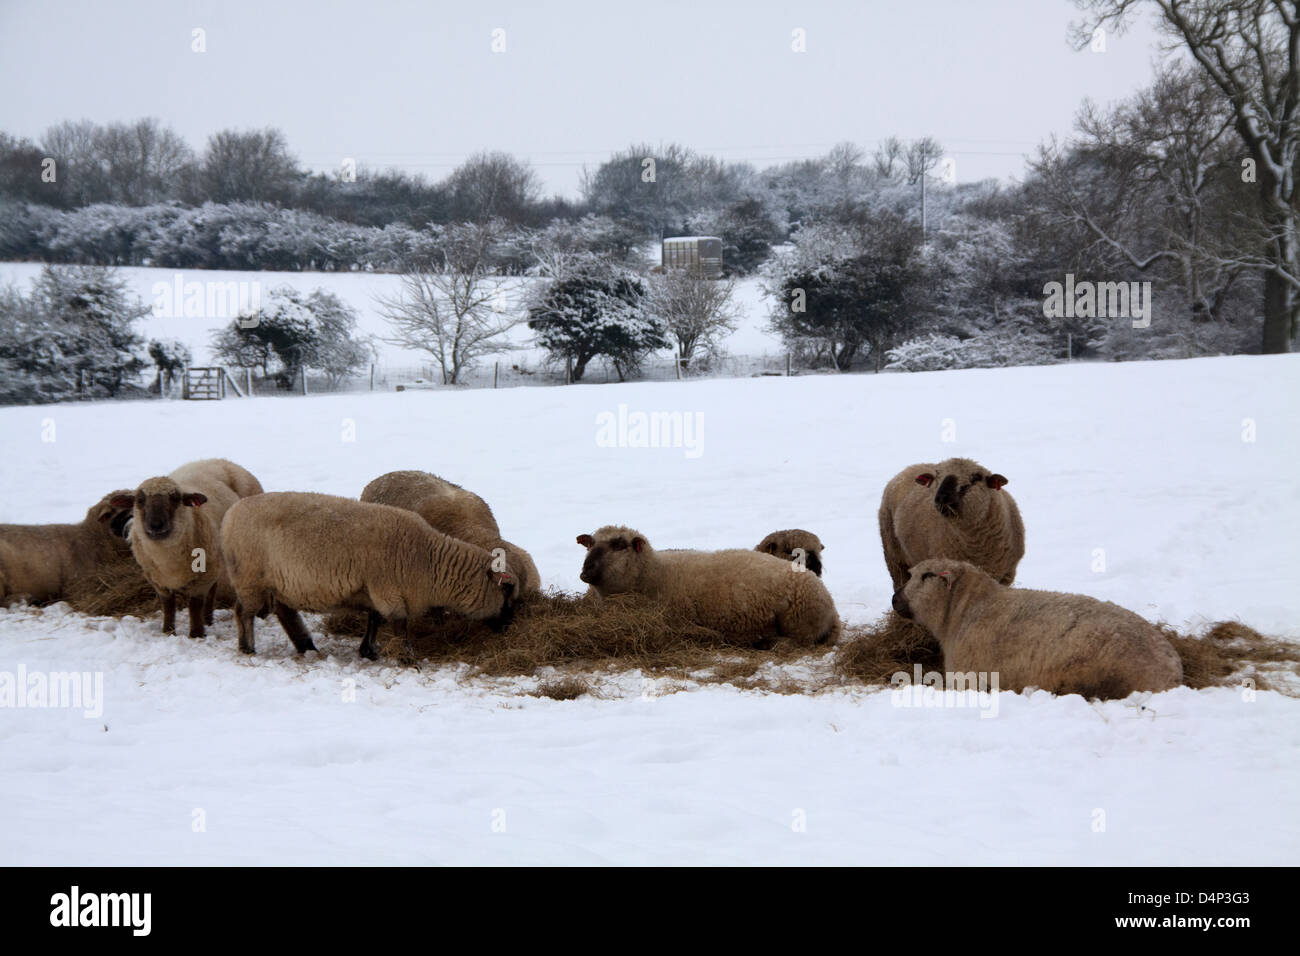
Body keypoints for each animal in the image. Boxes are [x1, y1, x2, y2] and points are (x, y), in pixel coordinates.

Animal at [111, 458, 263, 639]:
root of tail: (221, 460)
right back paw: (208, 620)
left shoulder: (202, 578)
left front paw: (196, 633)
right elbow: (168, 606)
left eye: (175, 498)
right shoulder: (157, 581)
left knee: (213, 591)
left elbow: (194, 605)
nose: (156, 525)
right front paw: (168, 631)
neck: (167, 560)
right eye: (140, 500)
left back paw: (208, 620)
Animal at [220, 491, 517, 659]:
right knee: (243, 612)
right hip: (249, 578)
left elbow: (374, 620)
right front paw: (407, 658)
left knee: (284, 612)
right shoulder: (387, 589)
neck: (428, 560)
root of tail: (230, 514)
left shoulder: (374, 591)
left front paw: (369, 651)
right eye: (506, 591)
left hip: (278, 584)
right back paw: (248, 648)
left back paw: (306, 647)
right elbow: (398, 625)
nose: (508, 628)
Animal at [878, 457, 1025, 591]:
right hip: (894, 557)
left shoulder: (1006, 576)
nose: (941, 497)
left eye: (976, 478)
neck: (976, 547)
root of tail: (910, 467)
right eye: (937, 476)